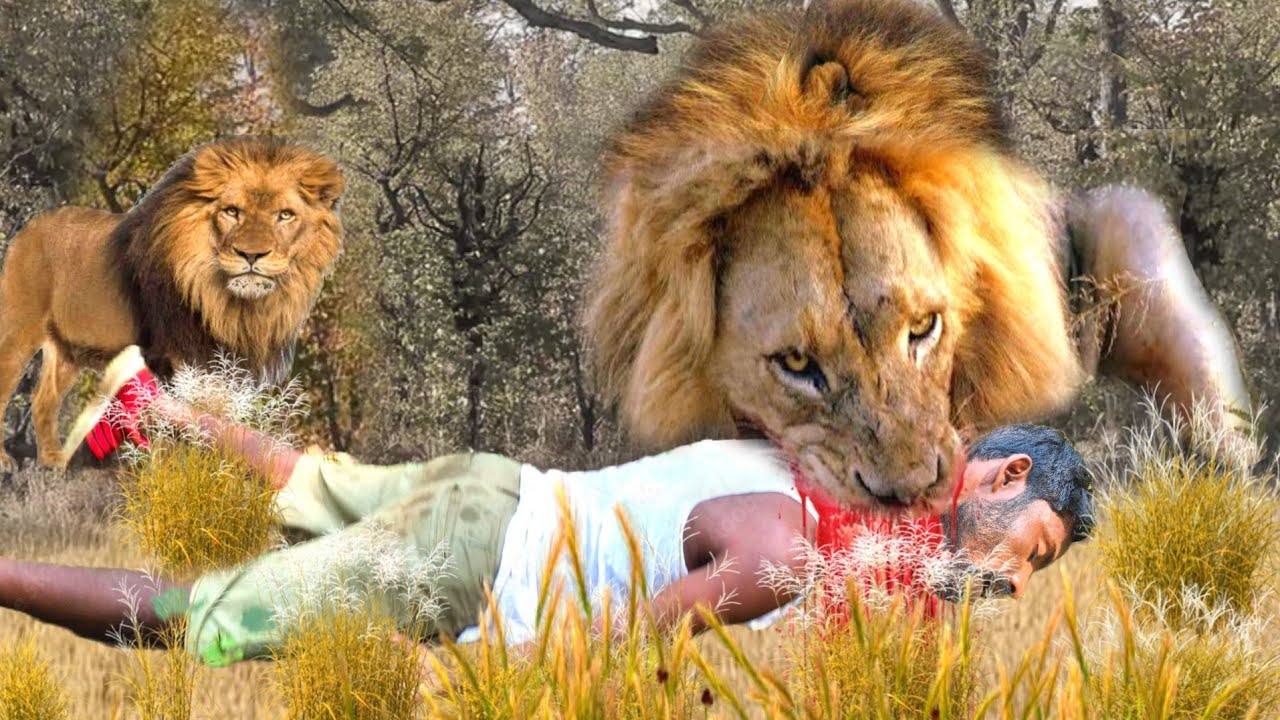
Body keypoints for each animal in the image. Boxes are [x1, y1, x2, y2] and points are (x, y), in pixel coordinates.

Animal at [0, 136, 344, 470]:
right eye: (232, 211)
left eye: (285, 215)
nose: (251, 255)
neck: (230, 304)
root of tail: (29, 227)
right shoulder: (168, 358)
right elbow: (172, 425)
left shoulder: (223, 368)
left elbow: (218, 424)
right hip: (18, 330)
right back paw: (7, 462)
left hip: (68, 351)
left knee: (42, 400)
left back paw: (53, 461)